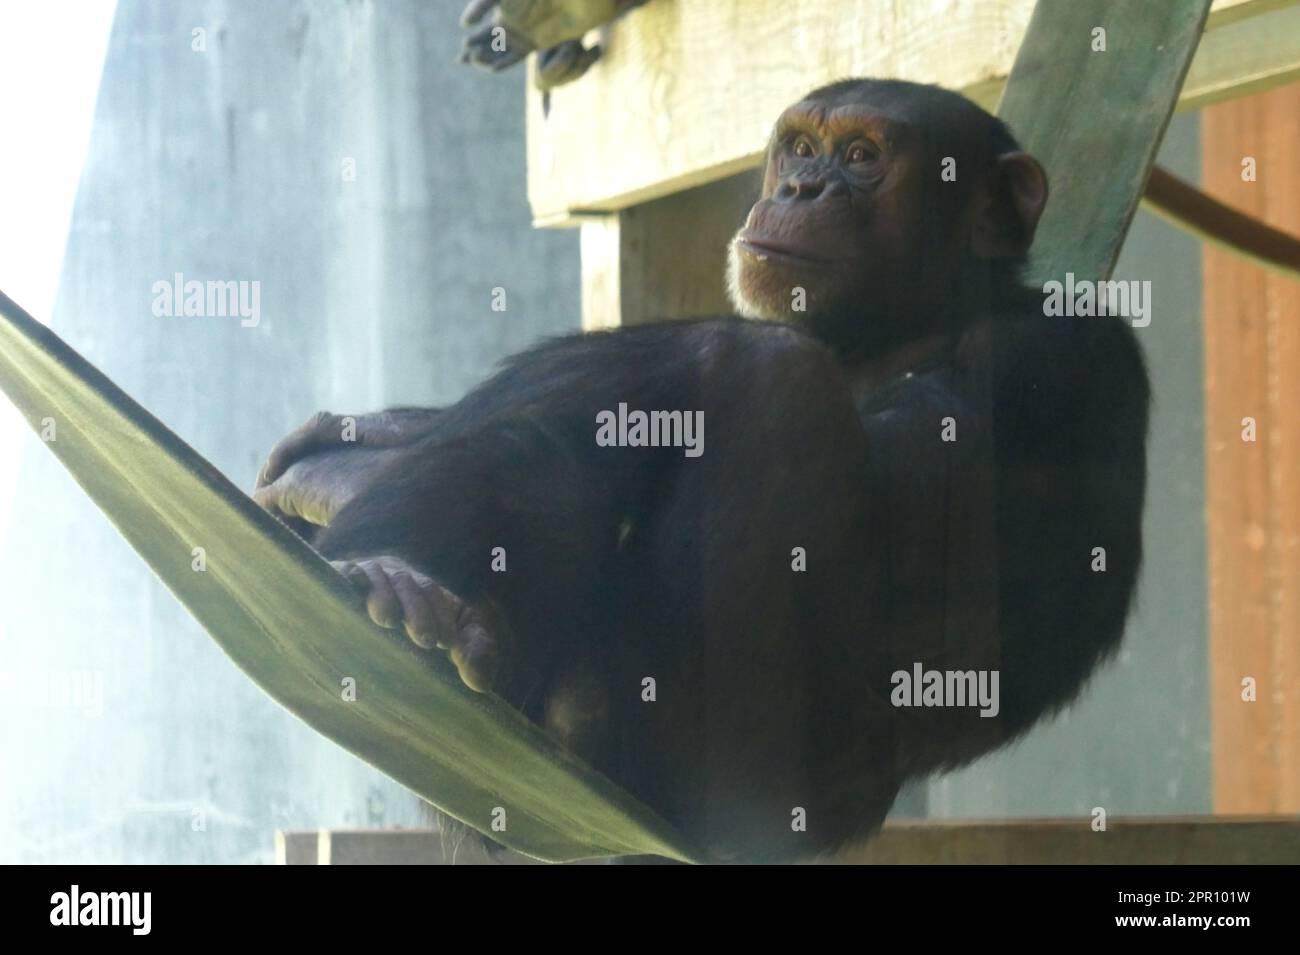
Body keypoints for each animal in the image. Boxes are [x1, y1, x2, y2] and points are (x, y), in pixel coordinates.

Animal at [255, 79, 1149, 862]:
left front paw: (368, 451)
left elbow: (911, 465)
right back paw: (408, 589)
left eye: (862, 155)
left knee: (765, 373)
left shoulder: (1056, 357)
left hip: (723, 775)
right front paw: (383, 440)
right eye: (801, 147)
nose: (801, 186)